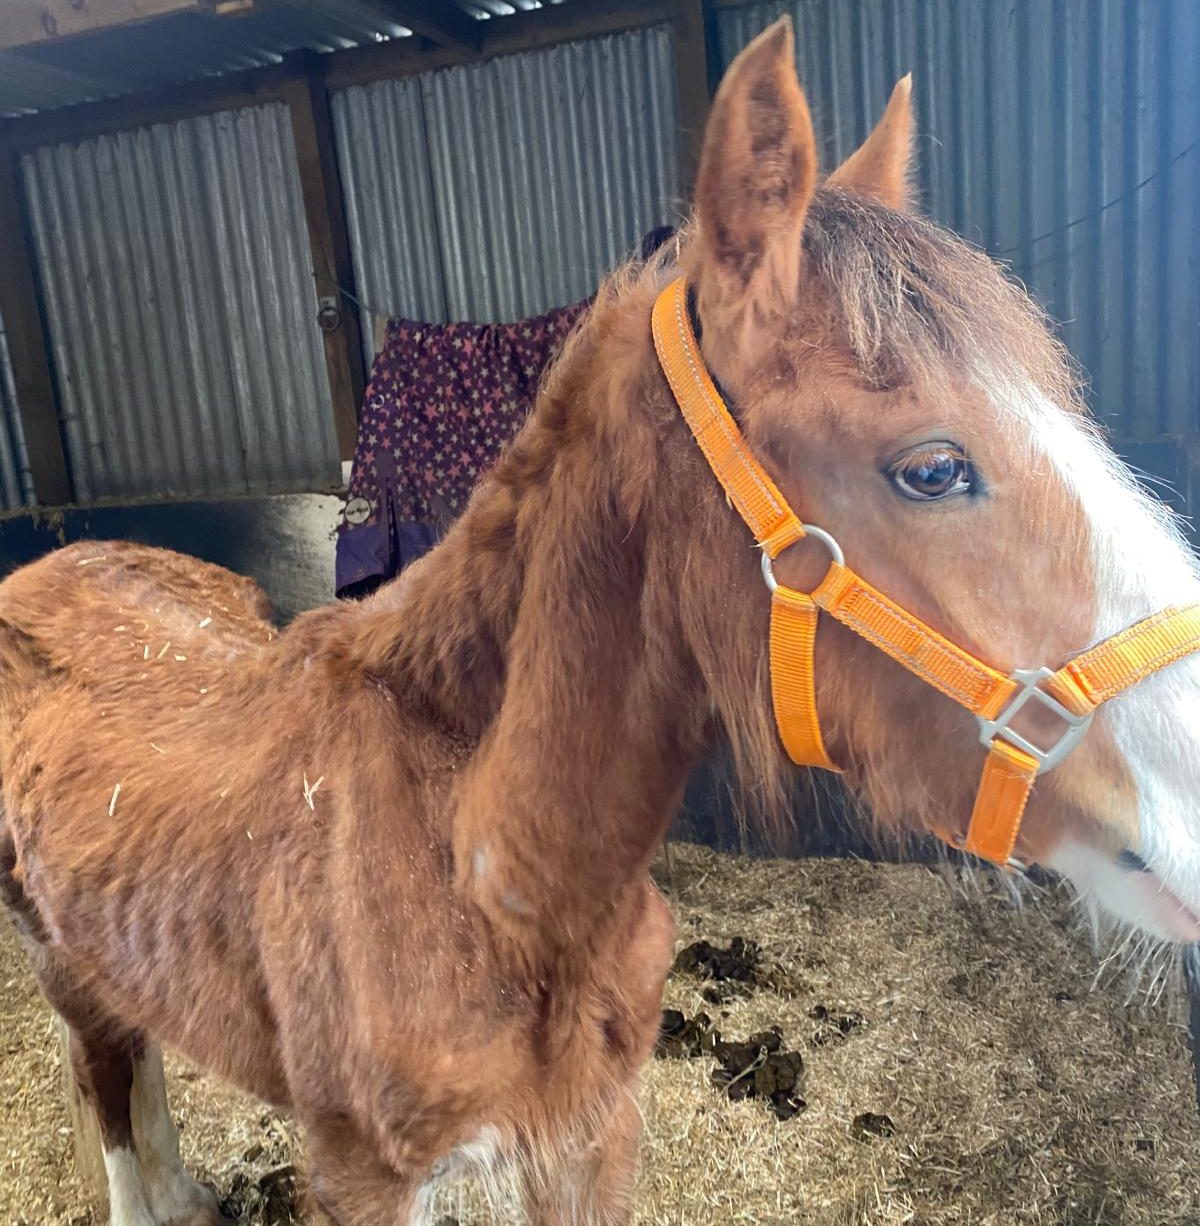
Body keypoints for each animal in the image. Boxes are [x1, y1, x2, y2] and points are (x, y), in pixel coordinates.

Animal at [3, 16, 1200, 1225]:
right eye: (933, 468)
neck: (475, 858)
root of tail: (49, 561)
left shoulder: (594, 1136)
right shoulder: (363, 1177)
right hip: (64, 968)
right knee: (111, 1086)